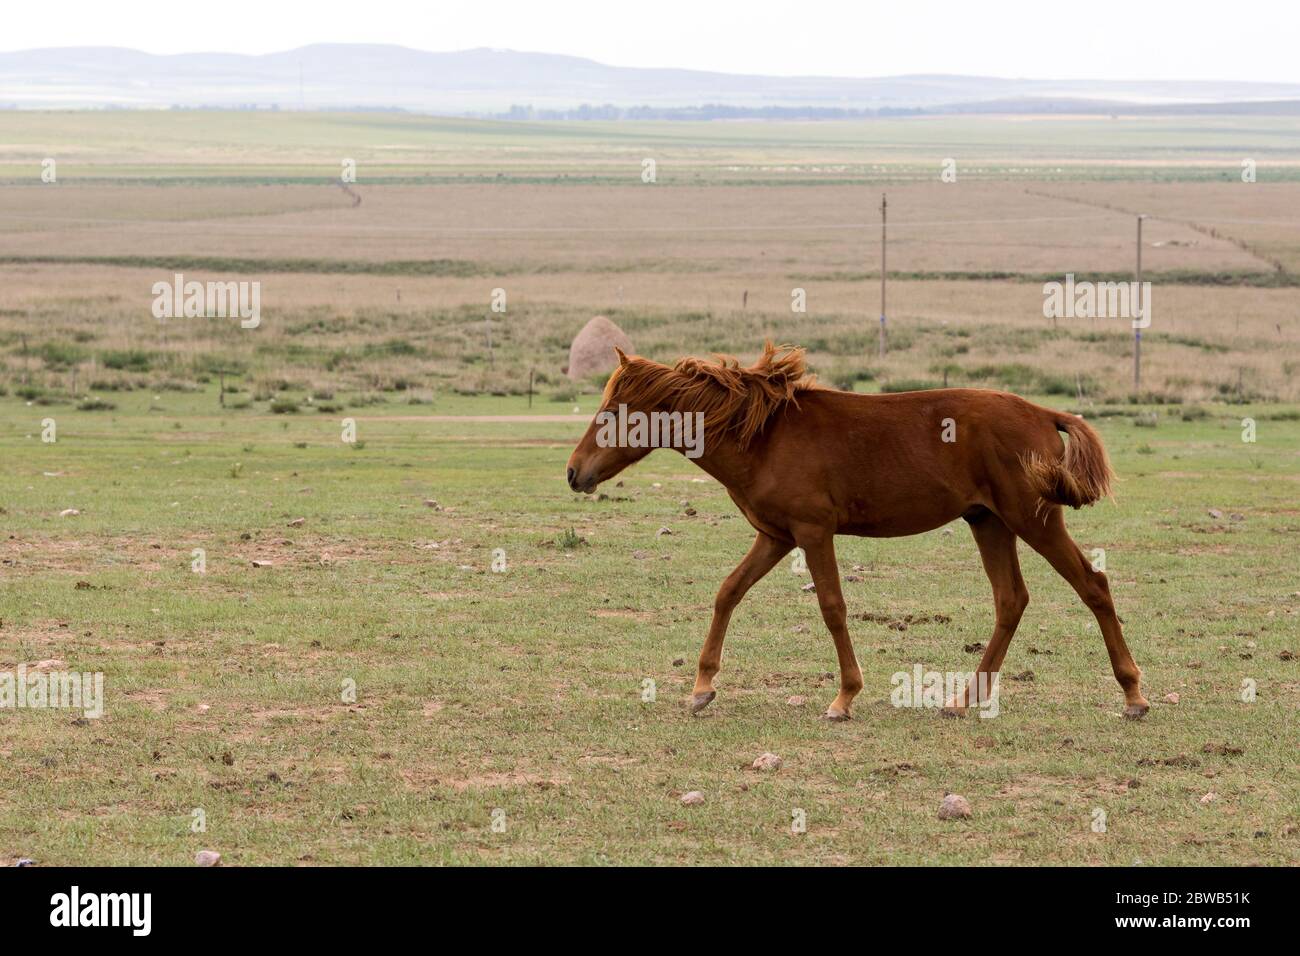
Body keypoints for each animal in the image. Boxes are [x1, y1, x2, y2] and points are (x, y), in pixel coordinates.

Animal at [565, 342, 1149, 721]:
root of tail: (1043, 413)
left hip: (1033, 520)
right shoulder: (776, 537)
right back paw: (965, 698)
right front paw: (702, 688)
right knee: (1011, 600)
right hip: (990, 523)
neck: (762, 436)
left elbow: (831, 607)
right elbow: (728, 592)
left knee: (1093, 586)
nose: (574, 473)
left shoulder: (812, 533)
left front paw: (844, 698)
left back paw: (1133, 695)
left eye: (614, 413)